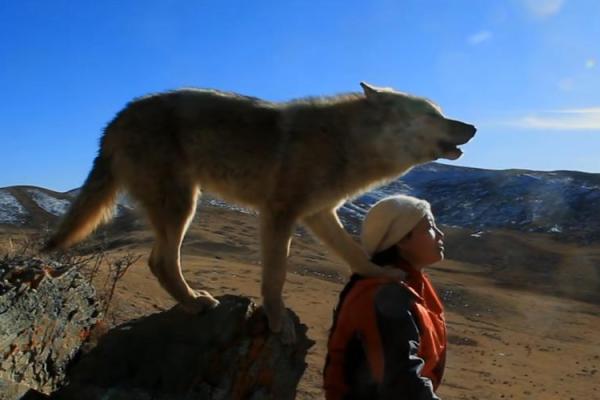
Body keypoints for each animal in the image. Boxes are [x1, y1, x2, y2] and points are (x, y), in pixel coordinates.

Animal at [42, 83, 476, 342]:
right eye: (432, 115)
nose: (471, 127)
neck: (348, 144)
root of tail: (116, 118)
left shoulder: (320, 214)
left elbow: (353, 253)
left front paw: (382, 273)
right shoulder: (279, 214)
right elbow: (276, 276)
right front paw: (277, 320)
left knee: (157, 260)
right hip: (183, 206)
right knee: (160, 261)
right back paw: (196, 302)